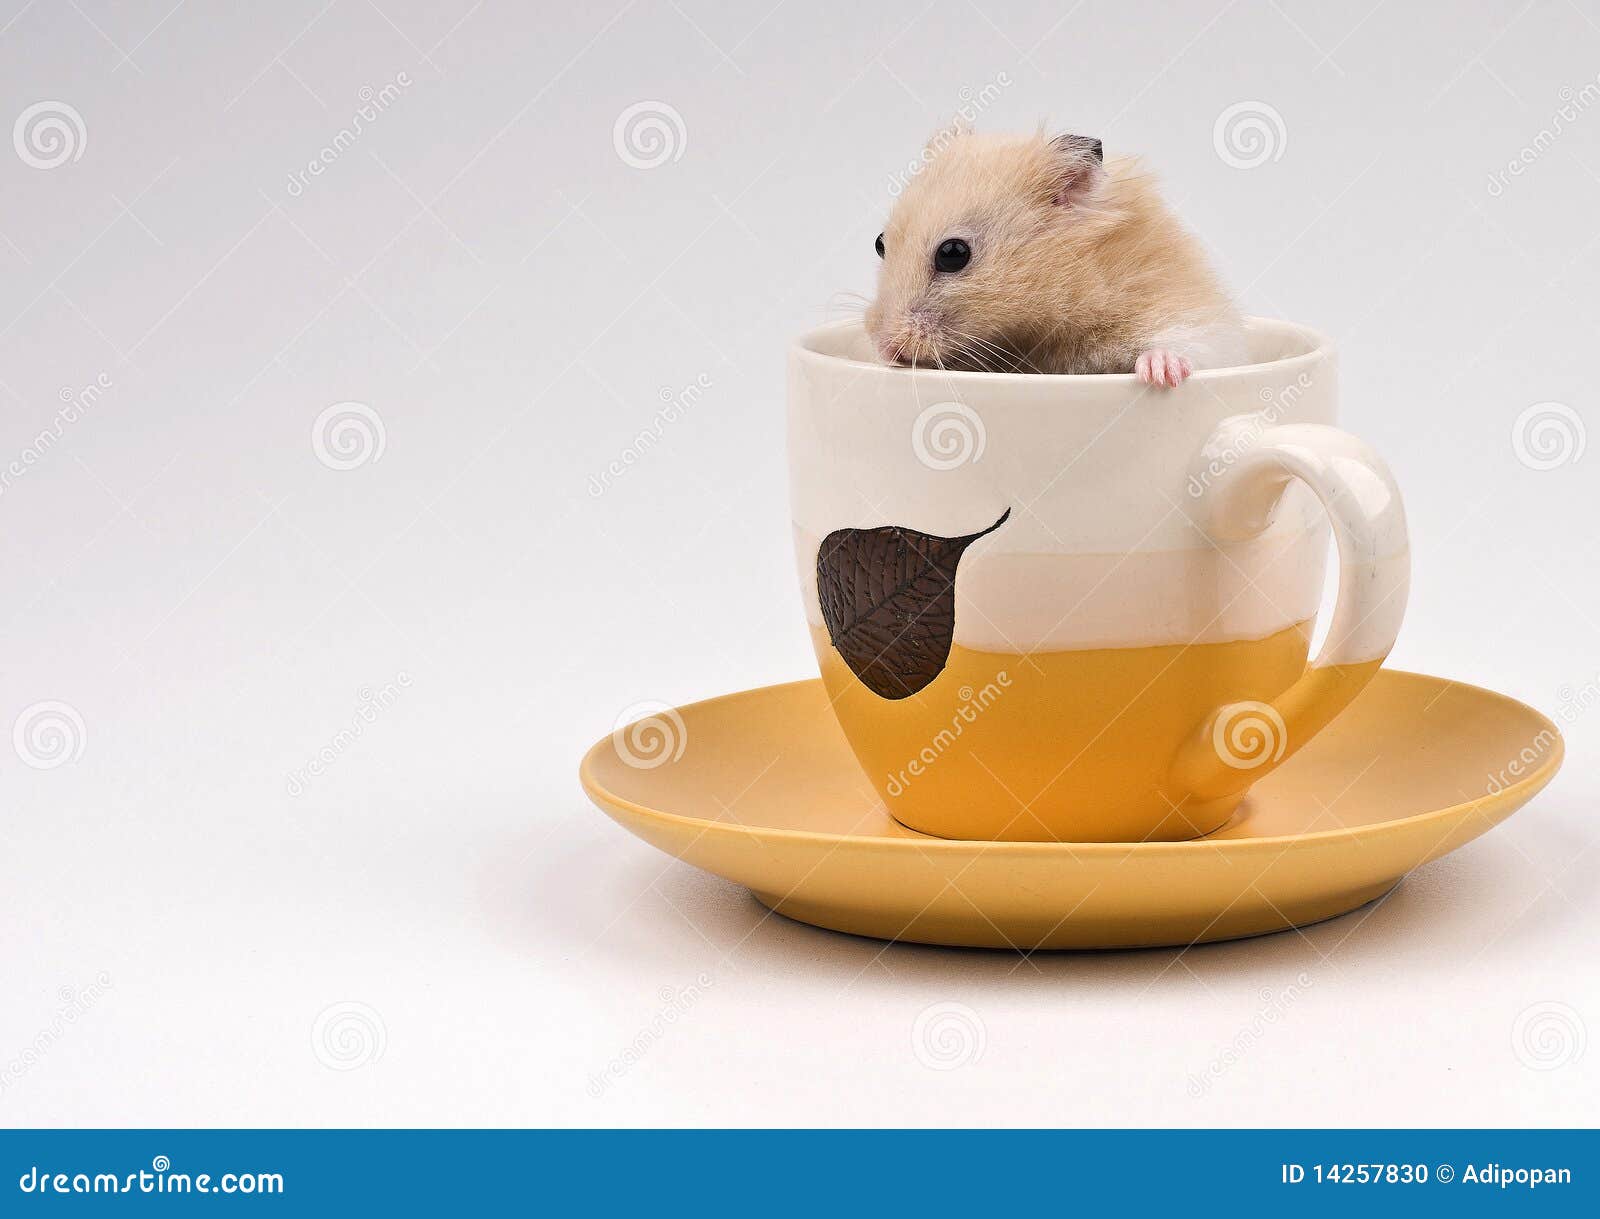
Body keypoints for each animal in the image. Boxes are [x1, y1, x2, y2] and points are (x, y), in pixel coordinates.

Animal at [864, 129, 1246, 387]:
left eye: (953, 254)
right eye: (880, 243)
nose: (886, 350)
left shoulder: (1187, 310)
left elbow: (1183, 342)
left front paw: (1160, 373)